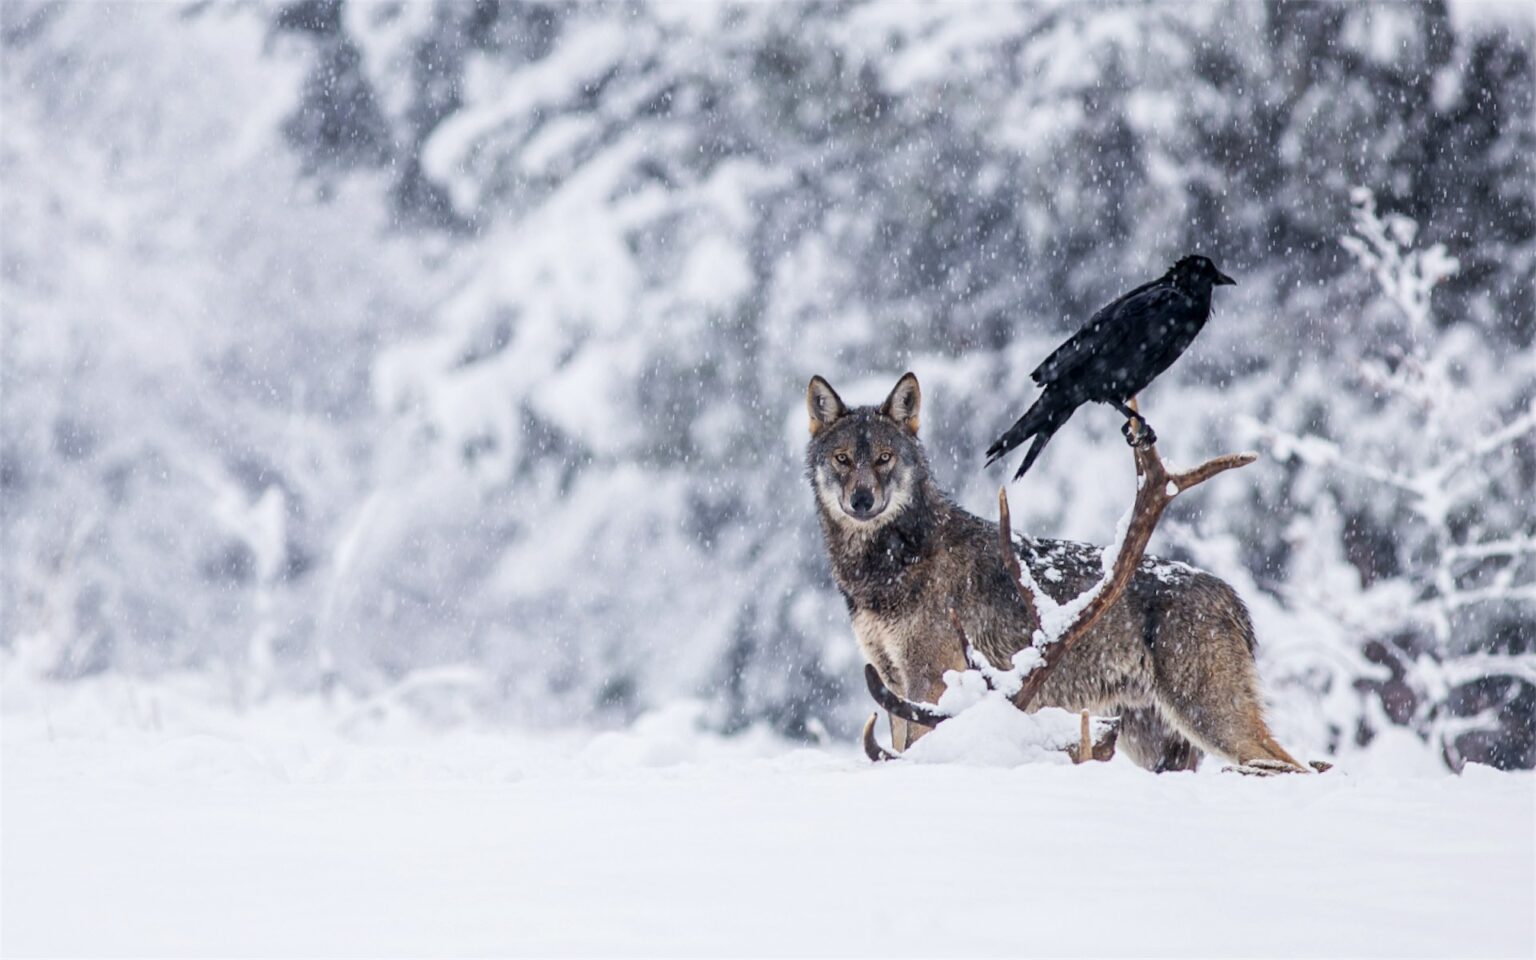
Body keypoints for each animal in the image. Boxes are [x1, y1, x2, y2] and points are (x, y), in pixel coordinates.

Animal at [806, 372, 1304, 772]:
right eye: (843, 459)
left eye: (885, 457)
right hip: (1148, 733)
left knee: (1294, 764)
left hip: (1207, 713)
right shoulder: (889, 674)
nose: (862, 501)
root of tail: (1233, 599)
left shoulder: (931, 677)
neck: (882, 573)